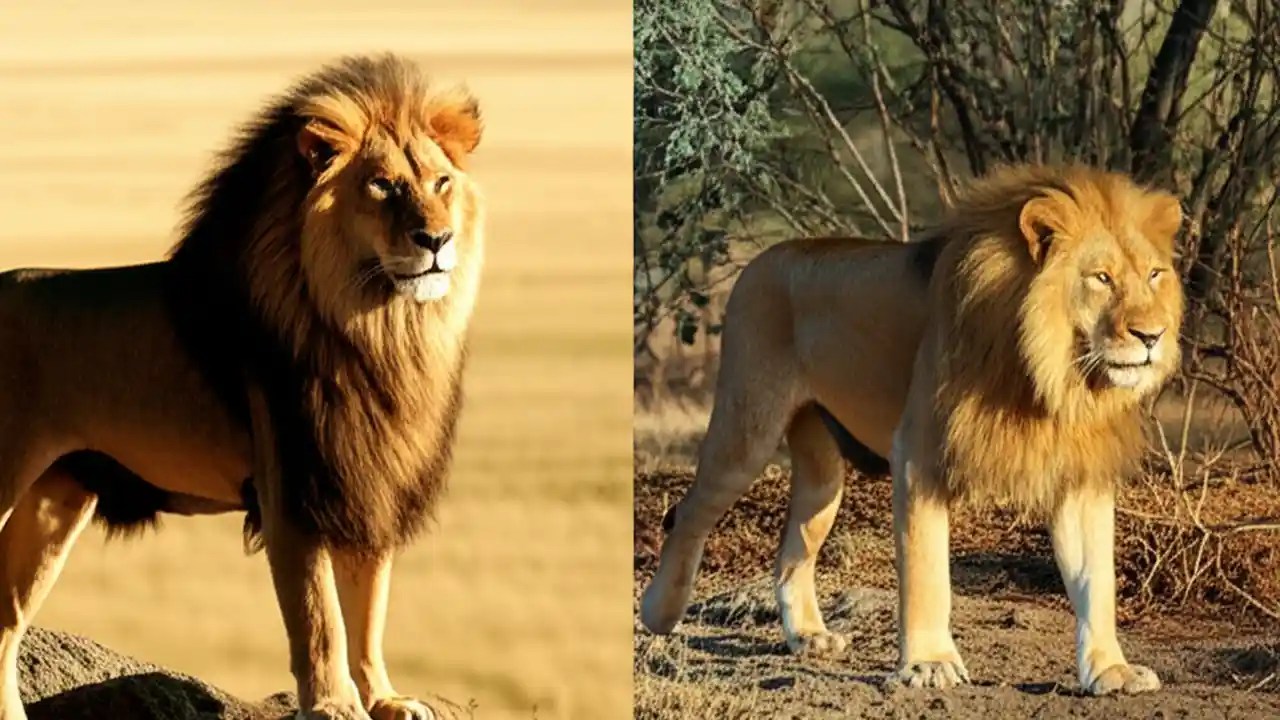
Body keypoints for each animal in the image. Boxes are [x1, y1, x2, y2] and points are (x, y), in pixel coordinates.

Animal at [0, 54, 484, 720]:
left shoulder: (366, 484)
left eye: (440, 183)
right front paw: (334, 705)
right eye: (383, 186)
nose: (436, 241)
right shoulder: (295, 492)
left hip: (54, 504)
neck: (377, 327)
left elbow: (369, 607)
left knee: (3, 622)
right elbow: (321, 618)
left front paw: (385, 698)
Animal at [639, 164, 1185, 696]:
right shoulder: (919, 452)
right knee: (689, 512)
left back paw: (808, 636)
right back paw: (658, 612)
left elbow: (1096, 580)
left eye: (1155, 274)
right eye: (1101, 278)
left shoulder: (1079, 472)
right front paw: (929, 664)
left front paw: (1111, 671)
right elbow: (927, 571)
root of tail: (765, 257)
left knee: (793, 544)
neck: (1054, 377)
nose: (1152, 336)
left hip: (822, 475)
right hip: (745, 428)